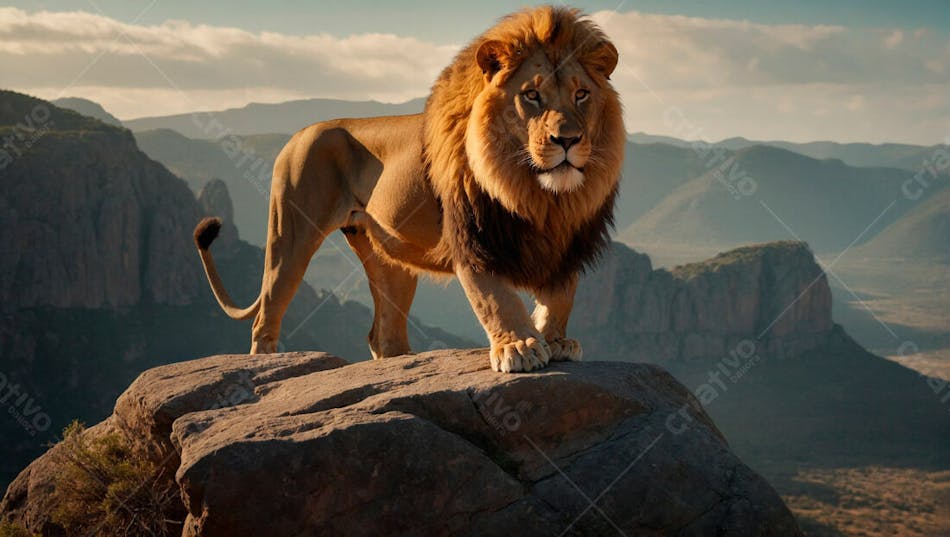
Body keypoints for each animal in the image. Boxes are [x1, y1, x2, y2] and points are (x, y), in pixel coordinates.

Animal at [193, 6, 625, 373]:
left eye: (581, 94)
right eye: (531, 95)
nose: (567, 140)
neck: (538, 192)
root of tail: (299, 133)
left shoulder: (570, 241)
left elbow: (560, 297)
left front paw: (556, 340)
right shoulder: (473, 238)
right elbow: (496, 299)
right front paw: (518, 346)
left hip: (388, 256)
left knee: (383, 334)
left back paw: (403, 362)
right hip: (291, 234)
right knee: (266, 316)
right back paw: (266, 365)